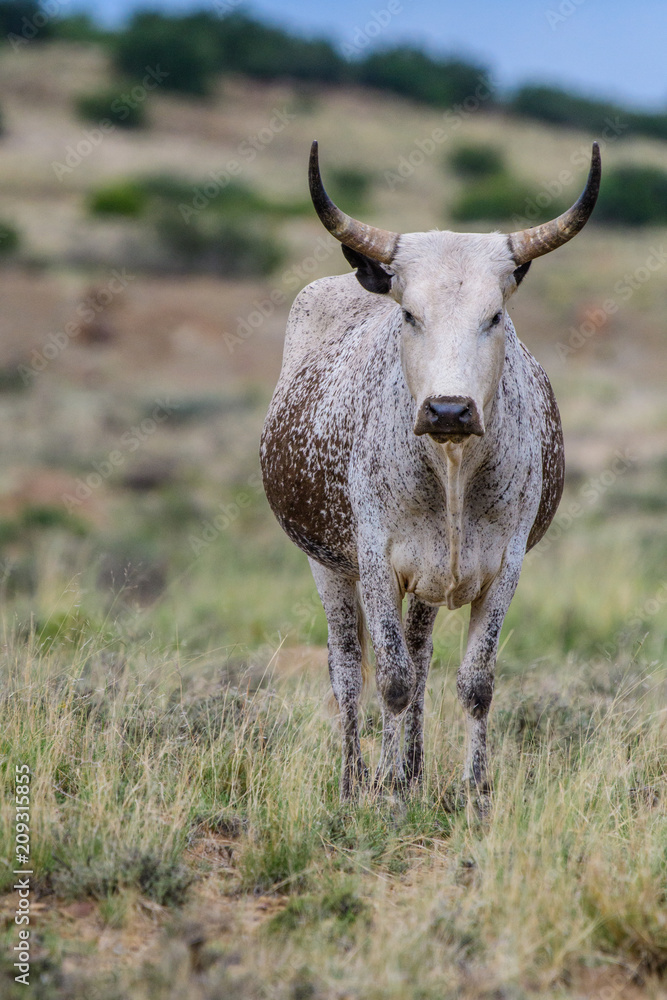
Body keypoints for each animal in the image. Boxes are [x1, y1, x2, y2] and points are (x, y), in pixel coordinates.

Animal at [261, 140, 601, 799]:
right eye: (410, 315)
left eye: (494, 316)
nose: (448, 409)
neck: (451, 470)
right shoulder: (375, 560)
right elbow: (388, 680)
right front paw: (389, 796)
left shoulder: (504, 565)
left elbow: (473, 683)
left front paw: (474, 795)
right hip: (327, 563)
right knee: (348, 668)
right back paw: (357, 779)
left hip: (426, 579)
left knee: (419, 657)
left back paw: (413, 768)